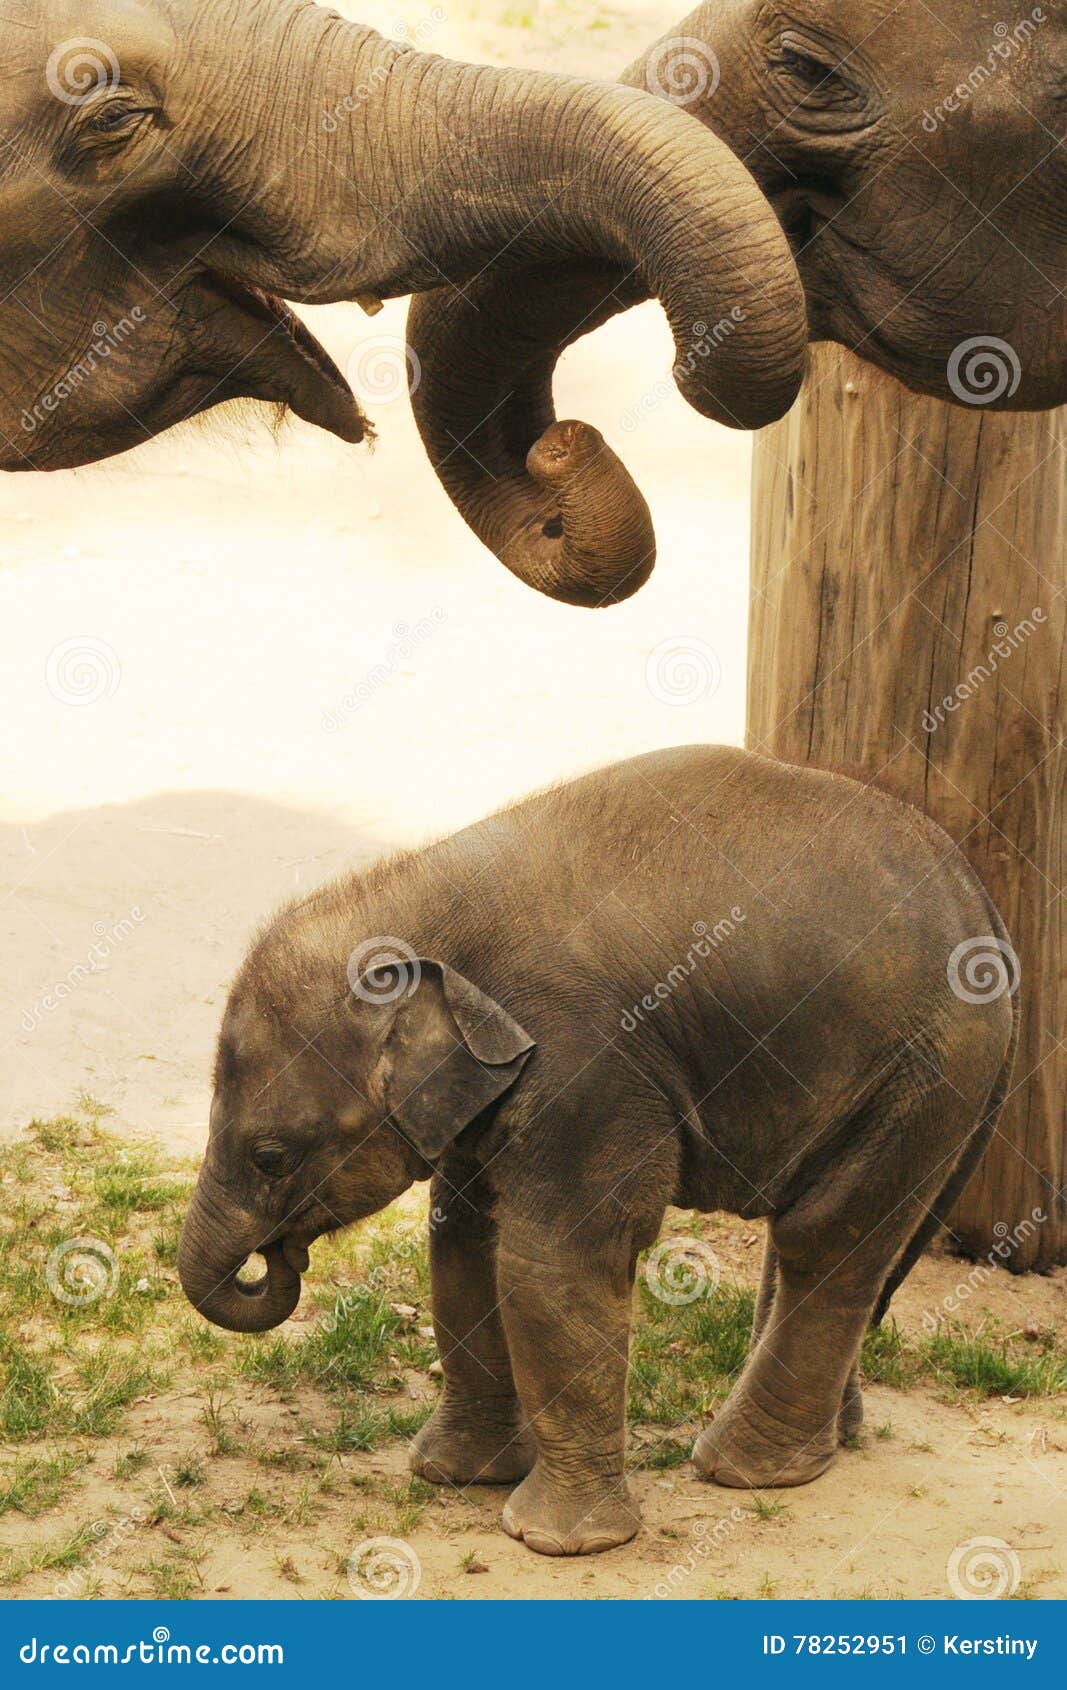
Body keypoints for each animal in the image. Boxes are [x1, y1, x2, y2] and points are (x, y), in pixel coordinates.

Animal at [179, 745, 1017, 1555]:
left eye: (271, 1156)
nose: (275, 1259)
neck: (414, 898)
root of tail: (984, 906)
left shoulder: (586, 1066)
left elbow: (552, 1260)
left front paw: (554, 1541)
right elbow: (463, 1239)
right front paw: (457, 1477)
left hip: (924, 1070)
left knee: (825, 1237)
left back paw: (744, 1470)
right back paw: (825, 1443)